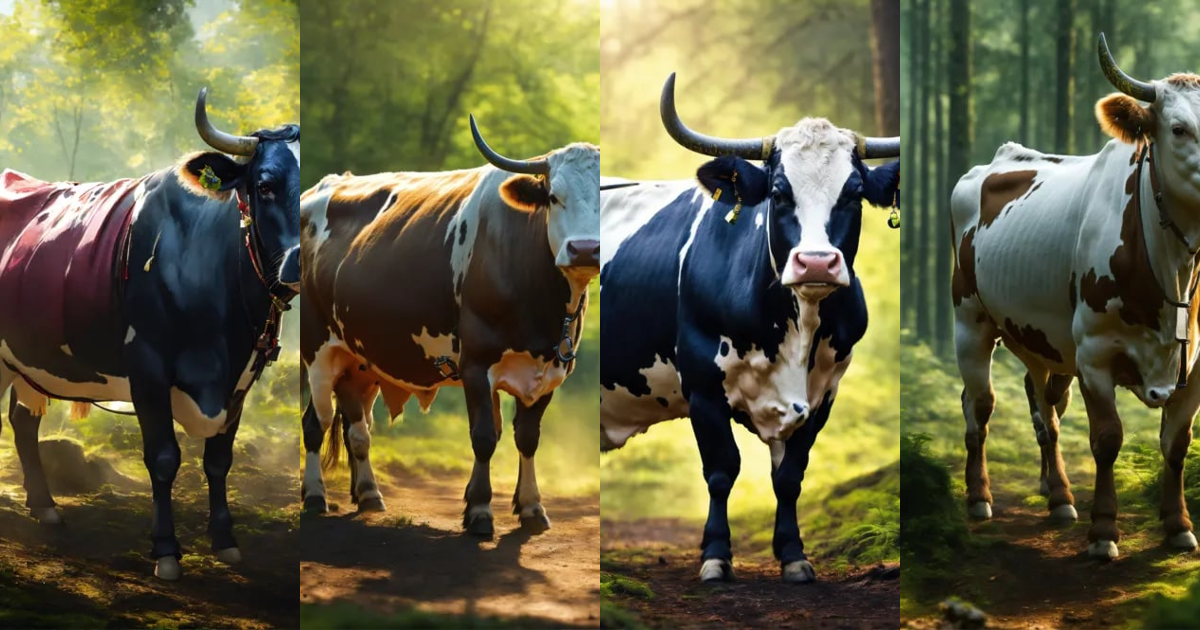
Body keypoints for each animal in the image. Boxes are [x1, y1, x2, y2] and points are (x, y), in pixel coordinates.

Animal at [0, 89, 300, 580]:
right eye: (265, 185)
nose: (299, 263)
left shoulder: (242, 379)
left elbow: (219, 460)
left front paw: (225, 540)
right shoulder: (148, 369)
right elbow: (163, 458)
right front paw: (165, 550)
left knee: (24, 422)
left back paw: (45, 507)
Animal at [298, 116, 598, 536]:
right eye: (554, 196)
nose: (585, 249)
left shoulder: (550, 370)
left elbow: (527, 438)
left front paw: (531, 507)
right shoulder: (475, 364)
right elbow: (484, 437)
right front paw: (479, 510)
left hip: (361, 359)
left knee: (357, 426)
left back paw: (368, 493)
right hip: (317, 349)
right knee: (317, 421)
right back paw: (314, 495)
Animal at [600, 73, 900, 583]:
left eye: (853, 192)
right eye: (779, 193)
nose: (815, 262)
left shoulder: (824, 393)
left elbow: (790, 476)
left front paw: (794, 554)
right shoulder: (703, 385)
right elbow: (723, 470)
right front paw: (716, 555)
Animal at [951, 33, 1200, 559]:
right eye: (1178, 129)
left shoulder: (1196, 365)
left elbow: (1176, 444)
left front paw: (1178, 526)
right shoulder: (1094, 355)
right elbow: (1107, 439)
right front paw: (1103, 531)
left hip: (1042, 341)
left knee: (1045, 409)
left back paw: (1060, 497)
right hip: (971, 321)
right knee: (979, 405)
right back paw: (979, 496)